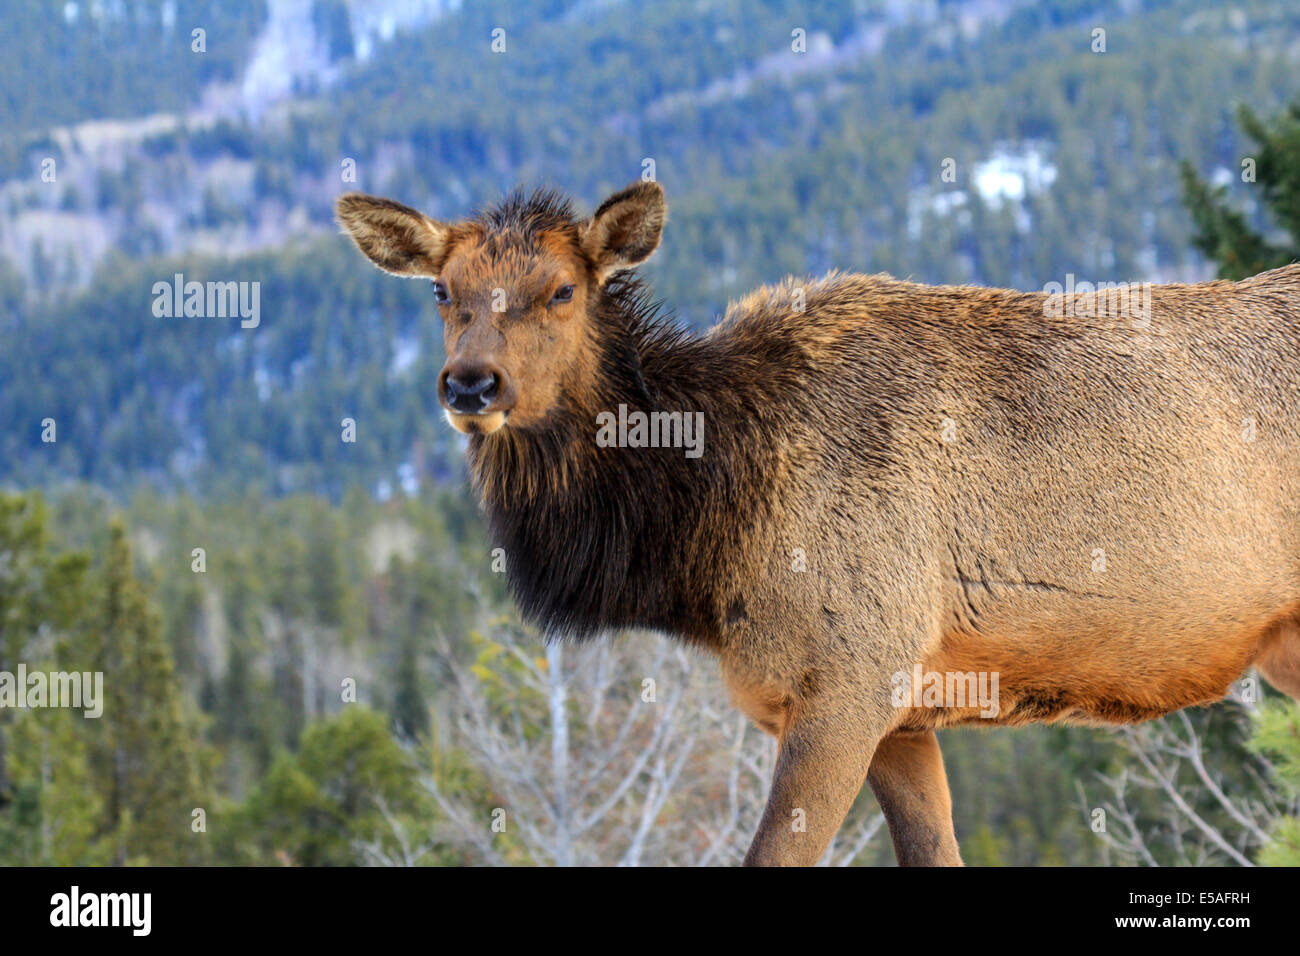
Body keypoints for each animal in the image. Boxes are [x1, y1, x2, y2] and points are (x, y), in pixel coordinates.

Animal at [337, 179, 1300, 866]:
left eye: (562, 289)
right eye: (442, 291)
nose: (470, 384)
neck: (705, 546)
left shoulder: (848, 679)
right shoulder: (902, 711)